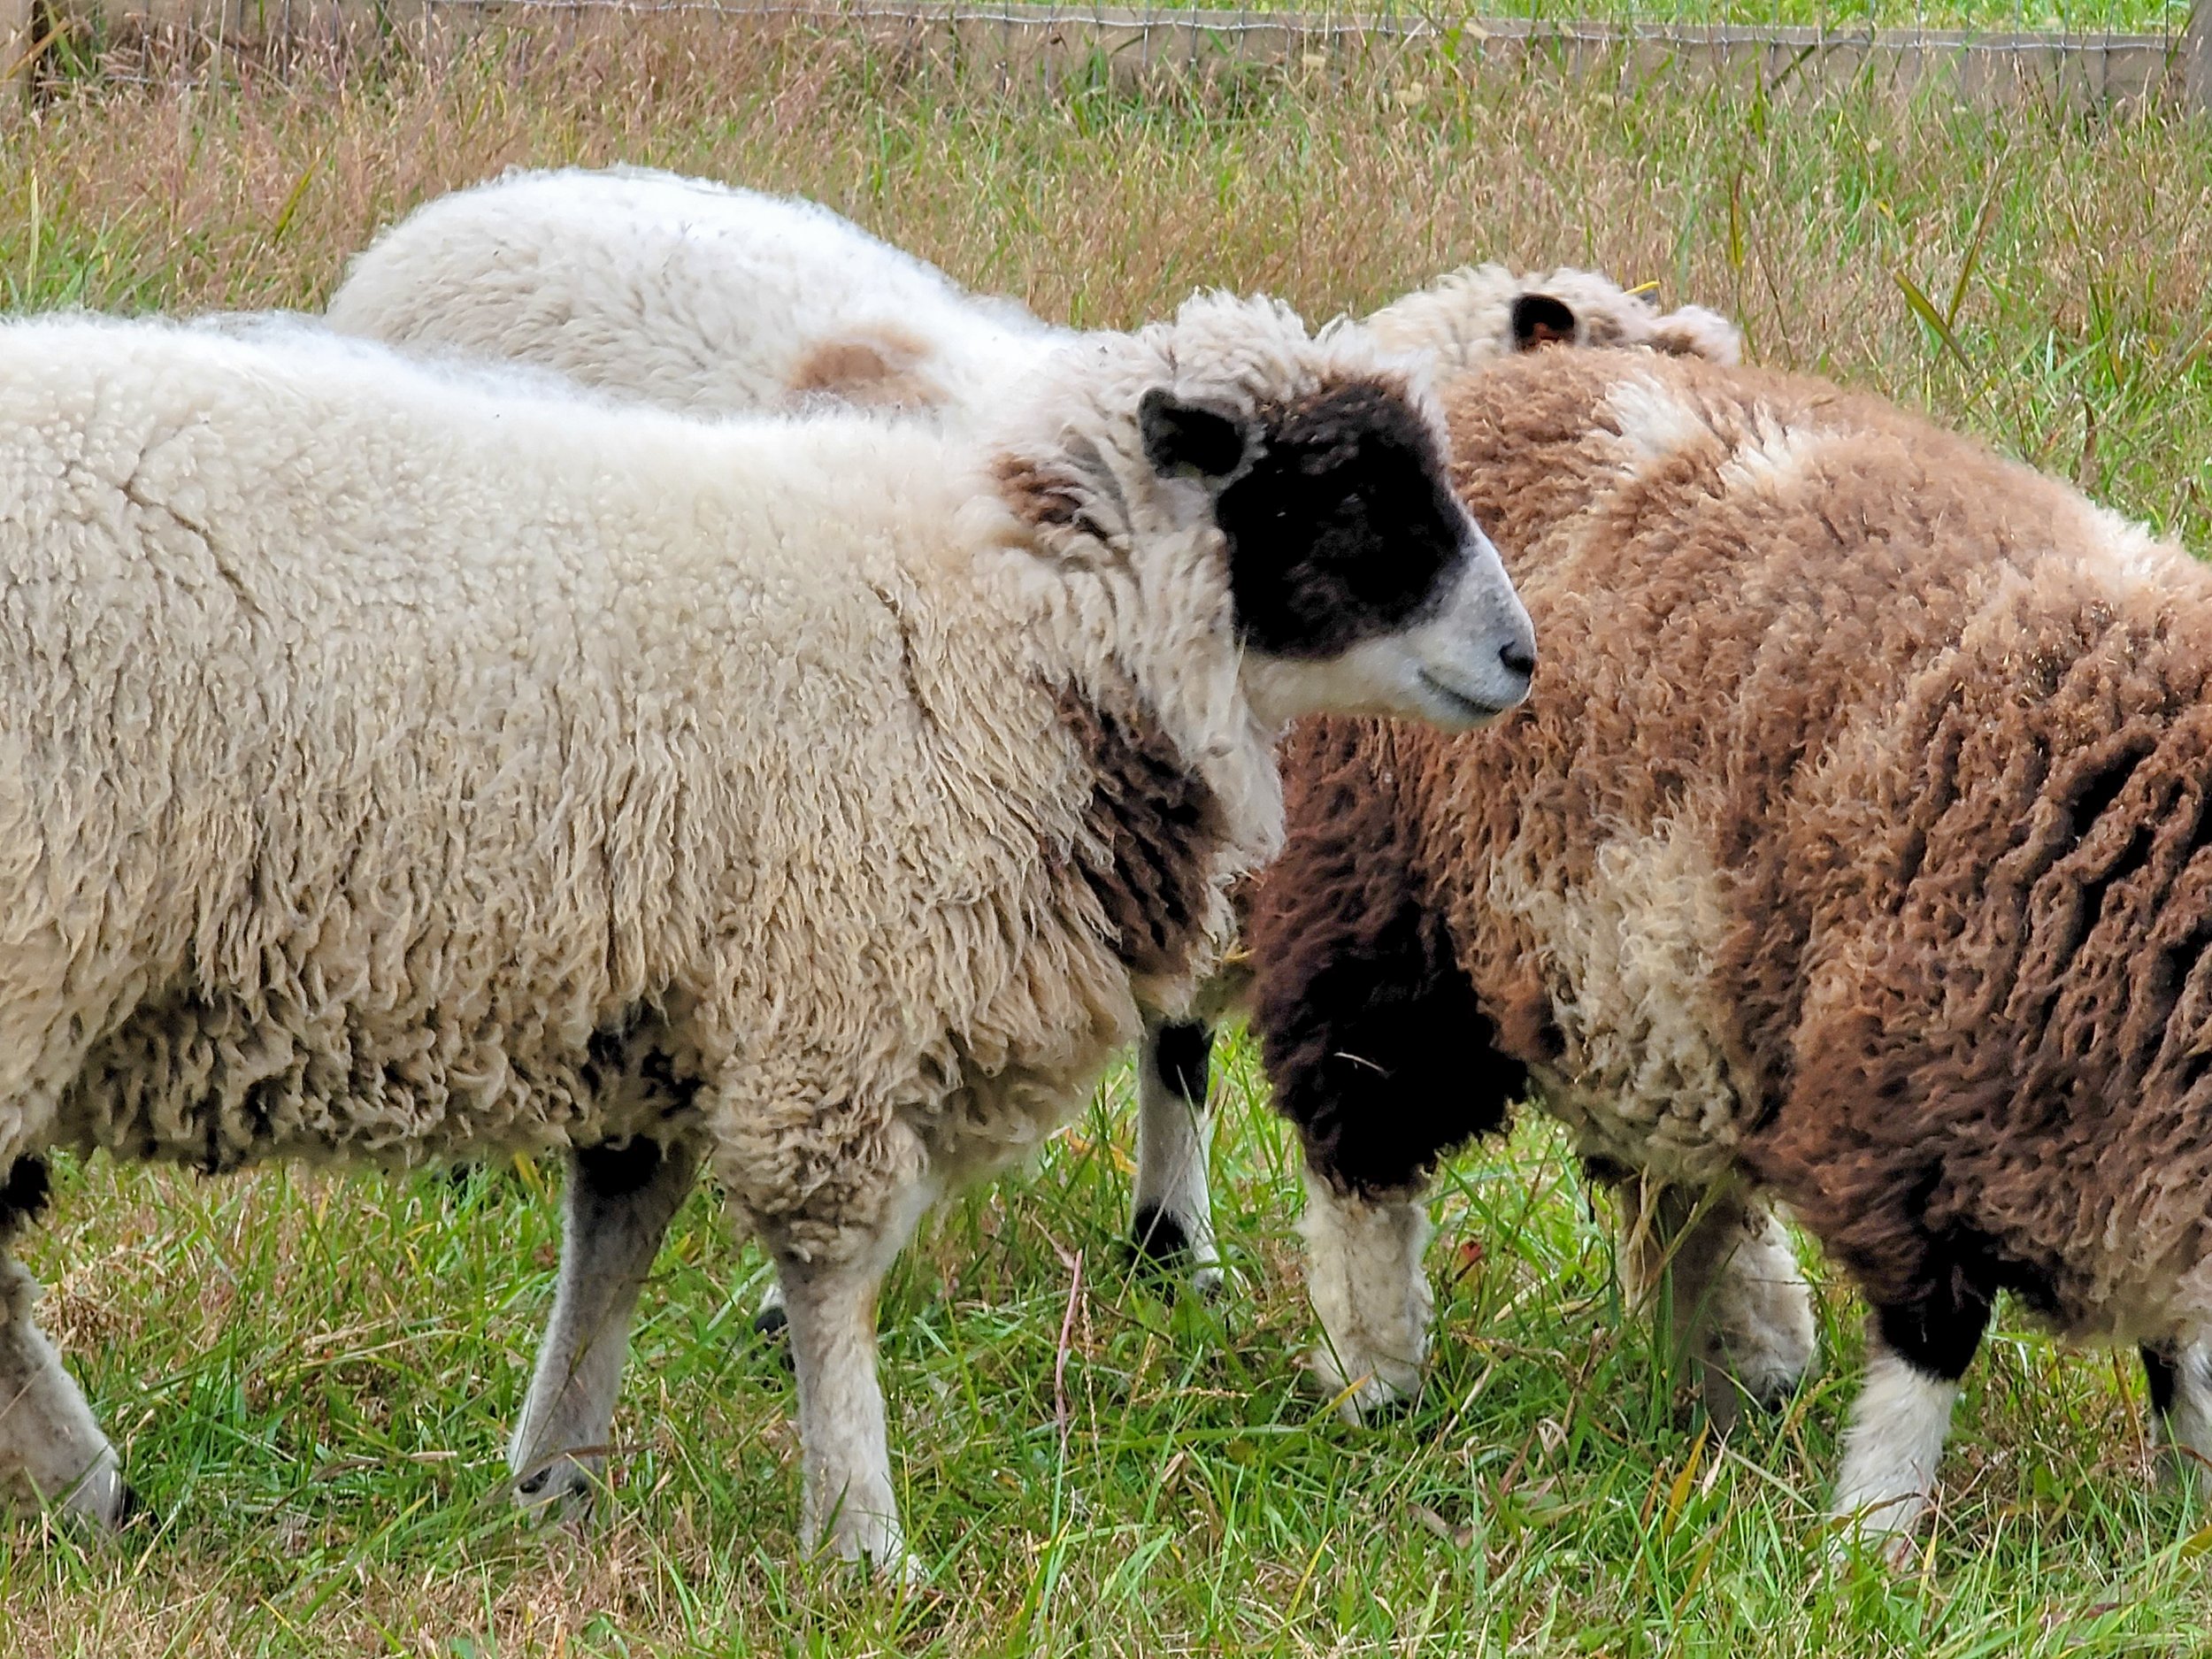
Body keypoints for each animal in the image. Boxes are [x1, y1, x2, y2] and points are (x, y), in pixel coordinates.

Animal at [0, 297, 1534, 1571]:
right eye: (1347, 493)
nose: (1524, 656)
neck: (1006, 634)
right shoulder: (828, 995)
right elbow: (830, 1272)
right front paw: (862, 1534)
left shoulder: (655, 1003)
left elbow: (616, 1233)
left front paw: (558, 1470)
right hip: (38, 943)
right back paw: (91, 1485)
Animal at [1245, 339, 2212, 1561]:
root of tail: (1498, 382)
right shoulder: (1909, 1099)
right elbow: (1926, 1350)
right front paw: (1869, 1548)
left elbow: (2182, 1357)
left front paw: (2189, 1517)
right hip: (1379, 910)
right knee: (1357, 1139)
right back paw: (1375, 1381)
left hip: (1640, 986)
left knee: (1672, 1192)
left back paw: (1733, 1380)